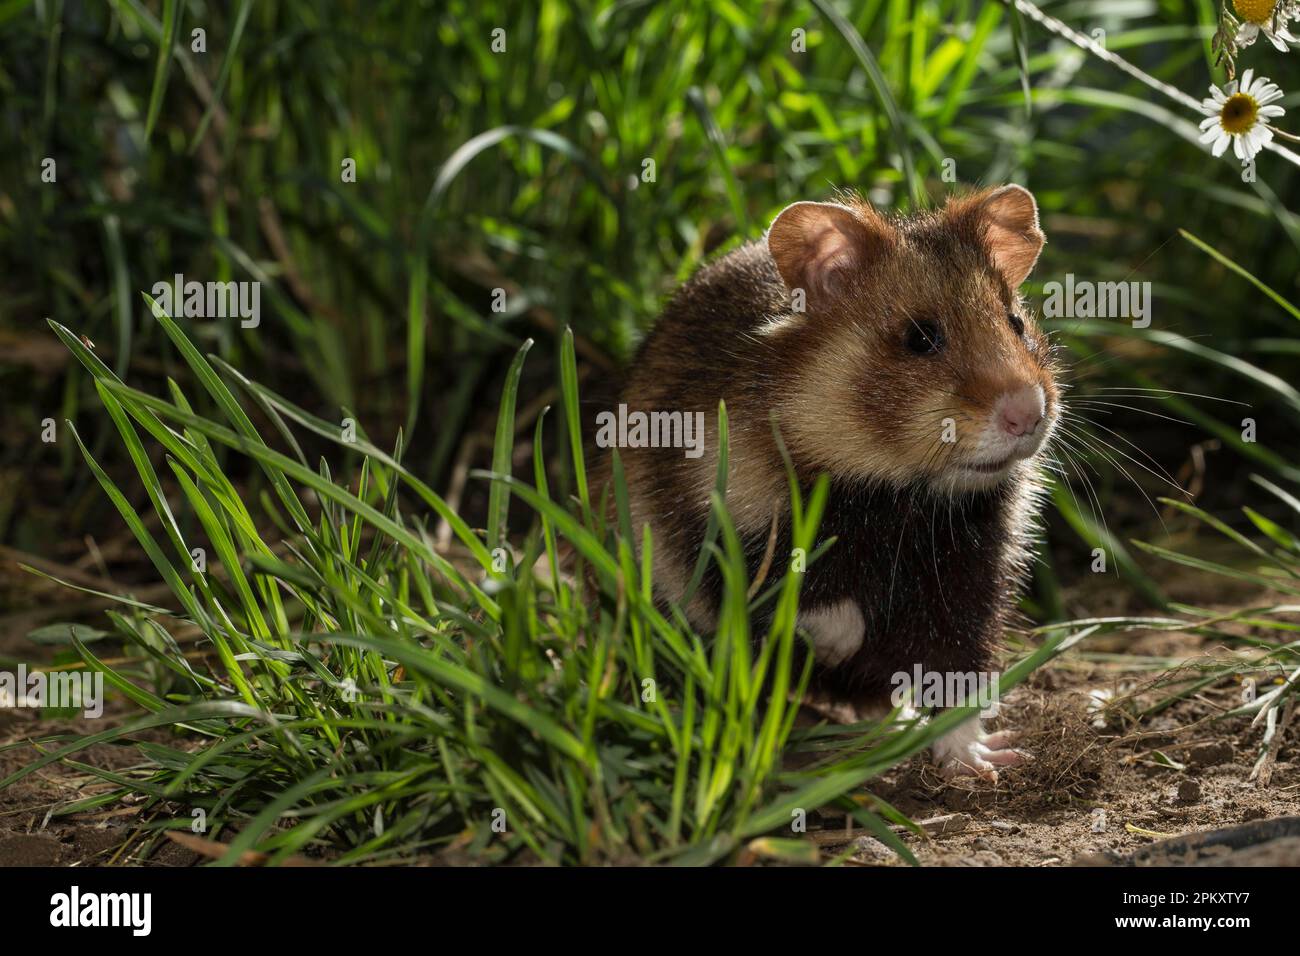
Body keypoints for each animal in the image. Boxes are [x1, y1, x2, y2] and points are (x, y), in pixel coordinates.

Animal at [604, 185, 1057, 780]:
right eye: (920, 338)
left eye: (1016, 322)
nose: (1029, 414)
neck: (892, 491)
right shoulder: (714, 522)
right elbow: (796, 592)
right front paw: (843, 641)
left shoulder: (969, 574)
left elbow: (956, 674)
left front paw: (981, 761)